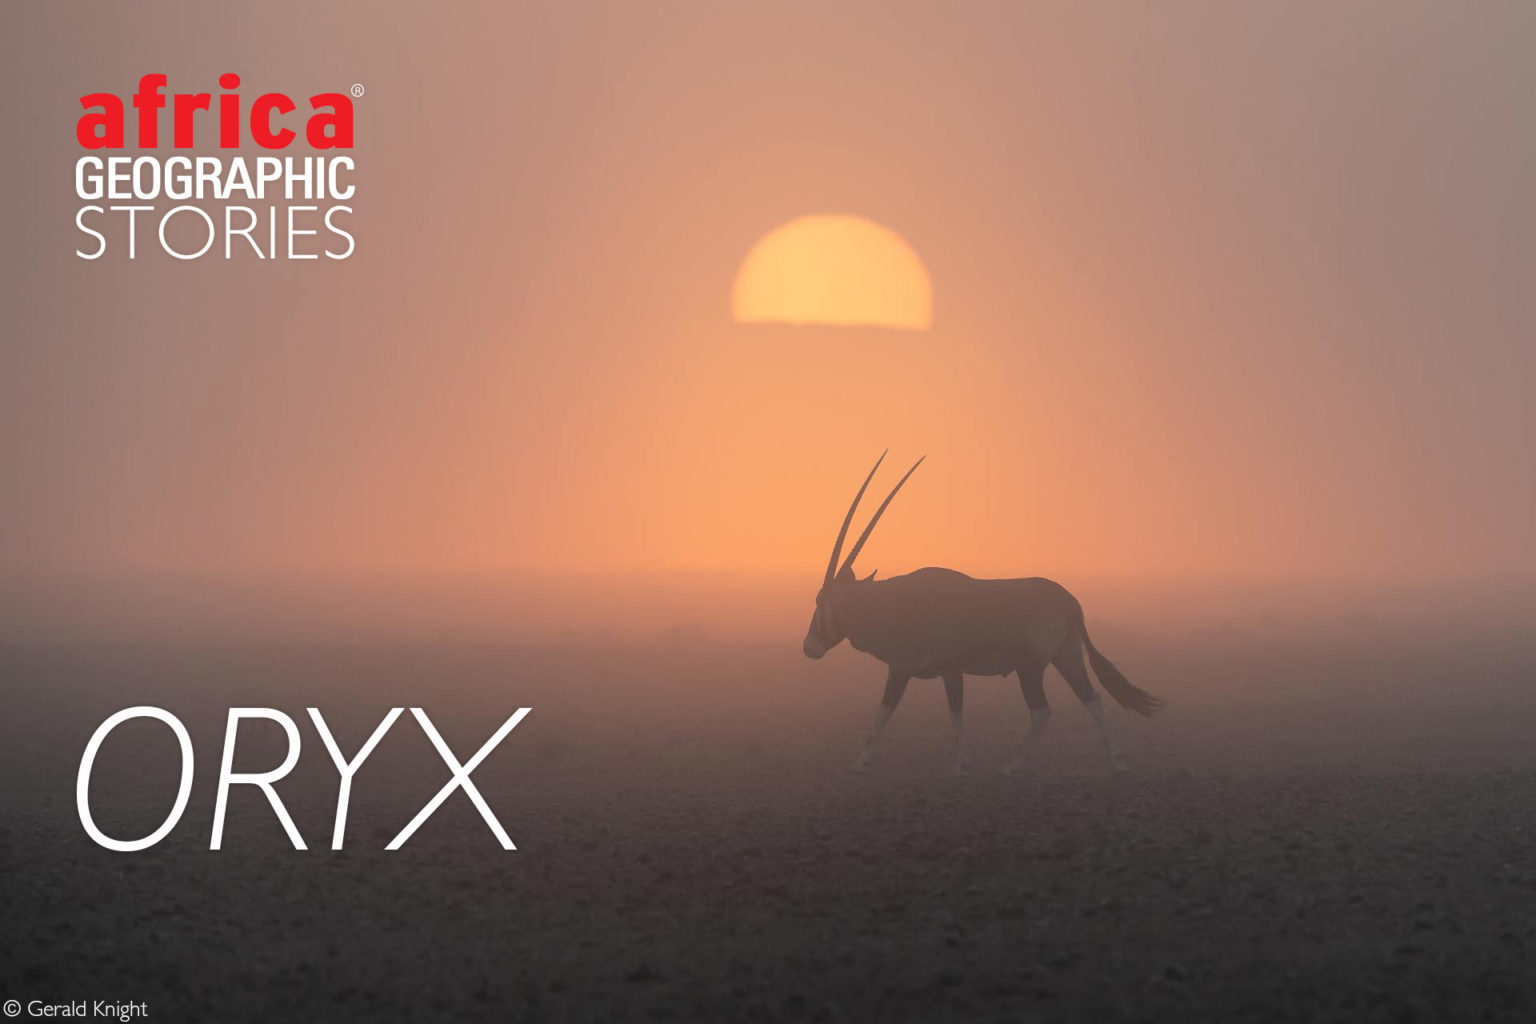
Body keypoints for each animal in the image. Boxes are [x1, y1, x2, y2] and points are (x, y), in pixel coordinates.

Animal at [802, 453, 1164, 774]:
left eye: (821, 601)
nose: (808, 647)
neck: (889, 603)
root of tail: (1070, 603)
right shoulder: (951, 671)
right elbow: (956, 714)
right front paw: (961, 764)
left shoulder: (900, 669)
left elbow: (883, 713)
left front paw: (860, 762)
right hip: (1067, 657)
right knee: (1092, 698)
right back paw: (1118, 762)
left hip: (1030, 666)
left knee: (1042, 710)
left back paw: (1013, 765)